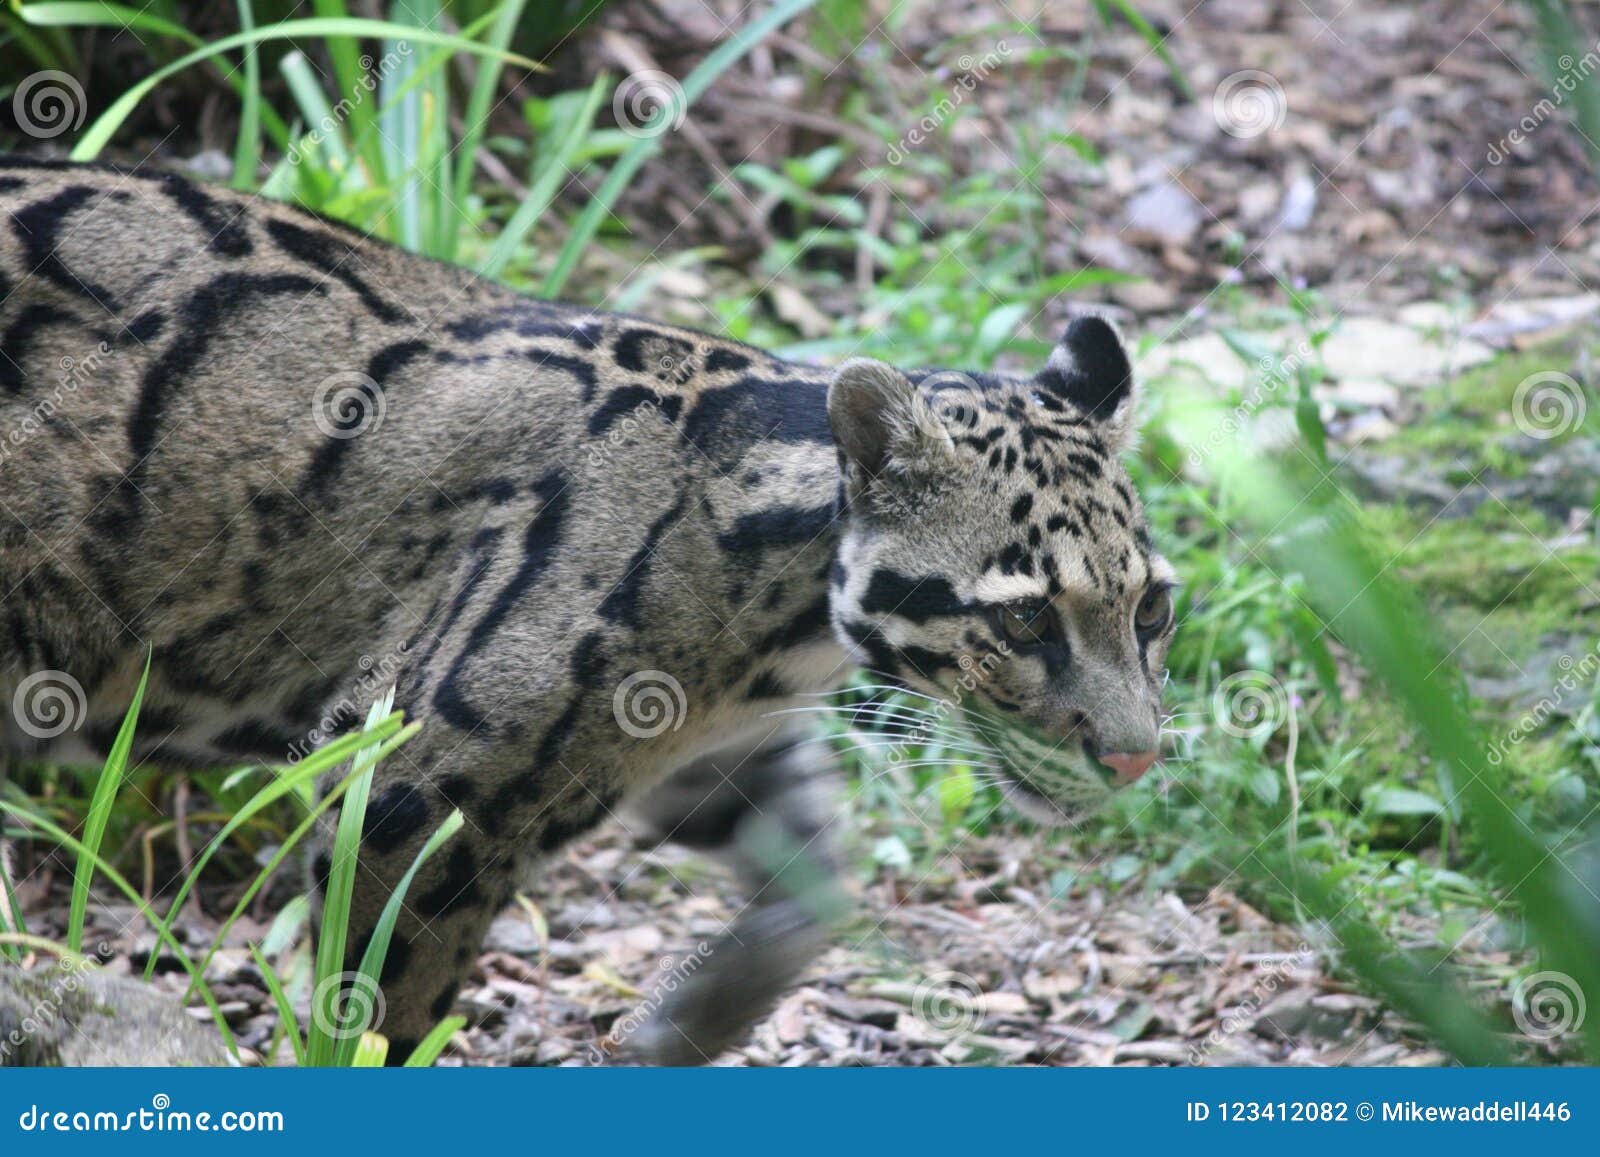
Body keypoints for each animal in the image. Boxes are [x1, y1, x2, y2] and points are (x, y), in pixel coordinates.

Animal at [0, 155, 1177, 1064]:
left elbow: (820, 893)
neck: (780, 637)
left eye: (1153, 608)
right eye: (1024, 621)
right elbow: (375, 1000)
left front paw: (690, 1025)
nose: (1134, 759)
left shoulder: (720, 754)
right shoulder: (420, 775)